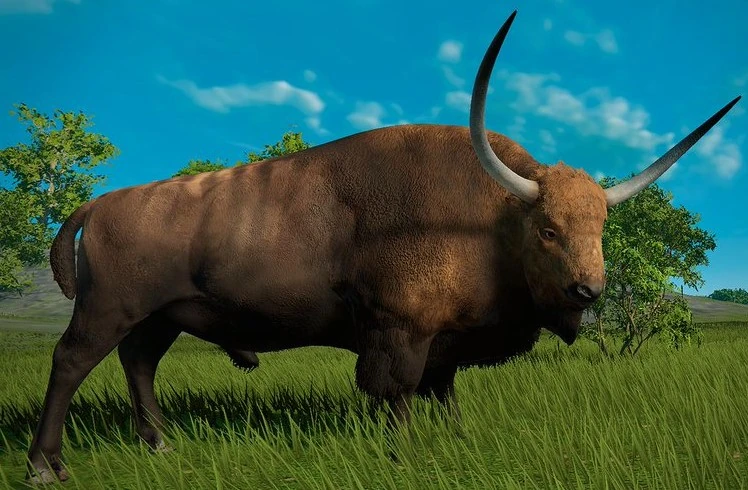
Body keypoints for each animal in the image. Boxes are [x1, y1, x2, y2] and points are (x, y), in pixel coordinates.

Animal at [26, 10, 739, 484]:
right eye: (548, 229)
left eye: (601, 228)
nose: (589, 290)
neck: (493, 216)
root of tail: (99, 202)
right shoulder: (399, 333)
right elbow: (396, 395)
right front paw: (403, 455)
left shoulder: (447, 342)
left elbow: (443, 393)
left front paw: (456, 439)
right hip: (106, 311)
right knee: (71, 362)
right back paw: (45, 466)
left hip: (158, 318)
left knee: (139, 364)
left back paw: (161, 446)